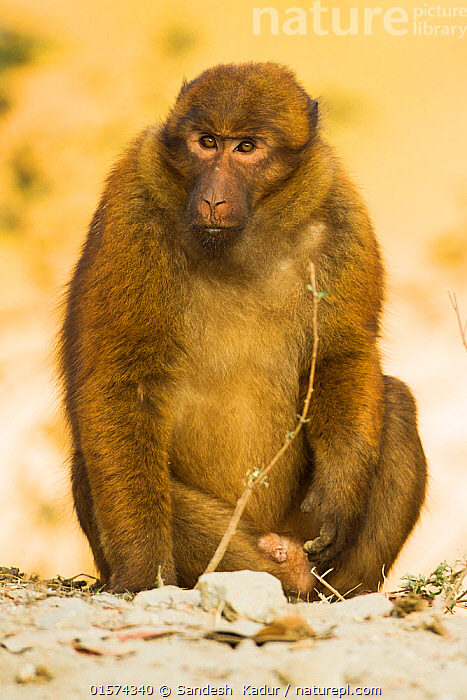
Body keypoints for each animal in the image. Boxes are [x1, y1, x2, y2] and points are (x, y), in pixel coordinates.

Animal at [61, 62, 427, 598]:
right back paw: (282, 570)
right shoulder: (134, 200)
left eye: (247, 147)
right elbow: (123, 379)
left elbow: (343, 353)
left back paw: (331, 591)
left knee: (395, 403)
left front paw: (340, 494)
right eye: (207, 142)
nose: (213, 197)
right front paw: (144, 572)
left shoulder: (338, 209)